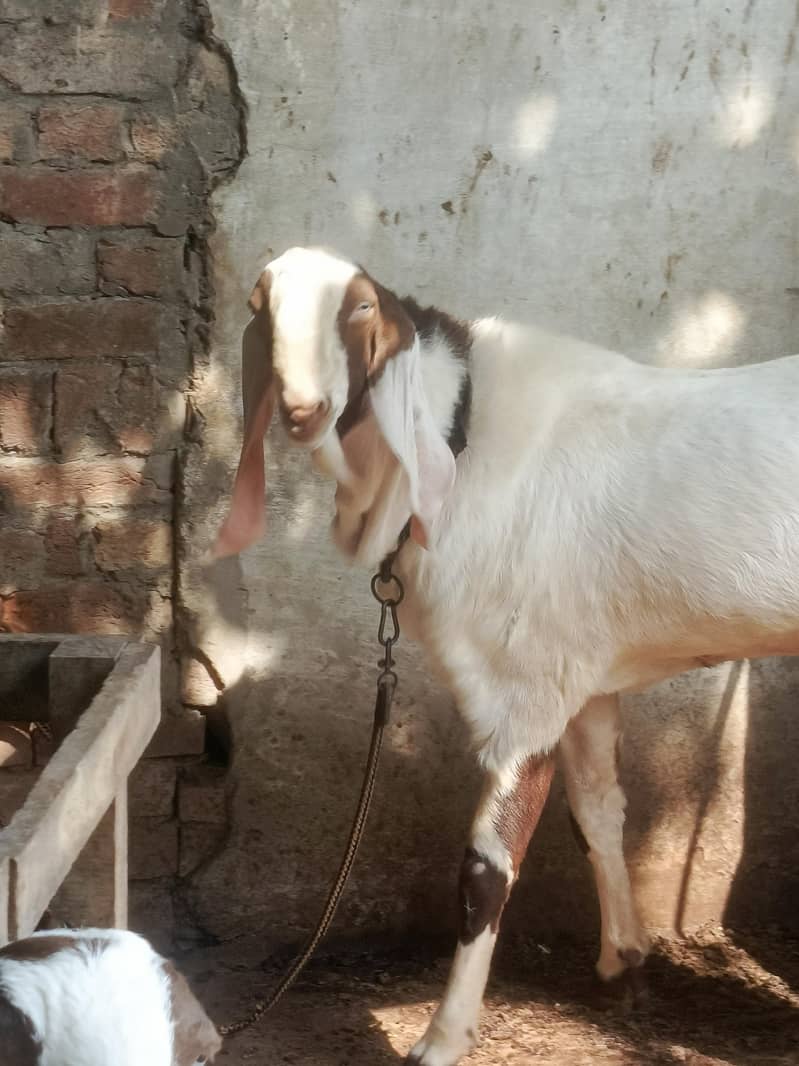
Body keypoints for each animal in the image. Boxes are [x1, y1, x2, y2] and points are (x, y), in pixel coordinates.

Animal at [214, 246, 799, 1066]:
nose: (303, 410)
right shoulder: (583, 677)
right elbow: (598, 814)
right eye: (258, 305)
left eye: (361, 307)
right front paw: (622, 963)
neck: (461, 440)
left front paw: (442, 1038)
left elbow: (485, 874)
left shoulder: (522, 690)